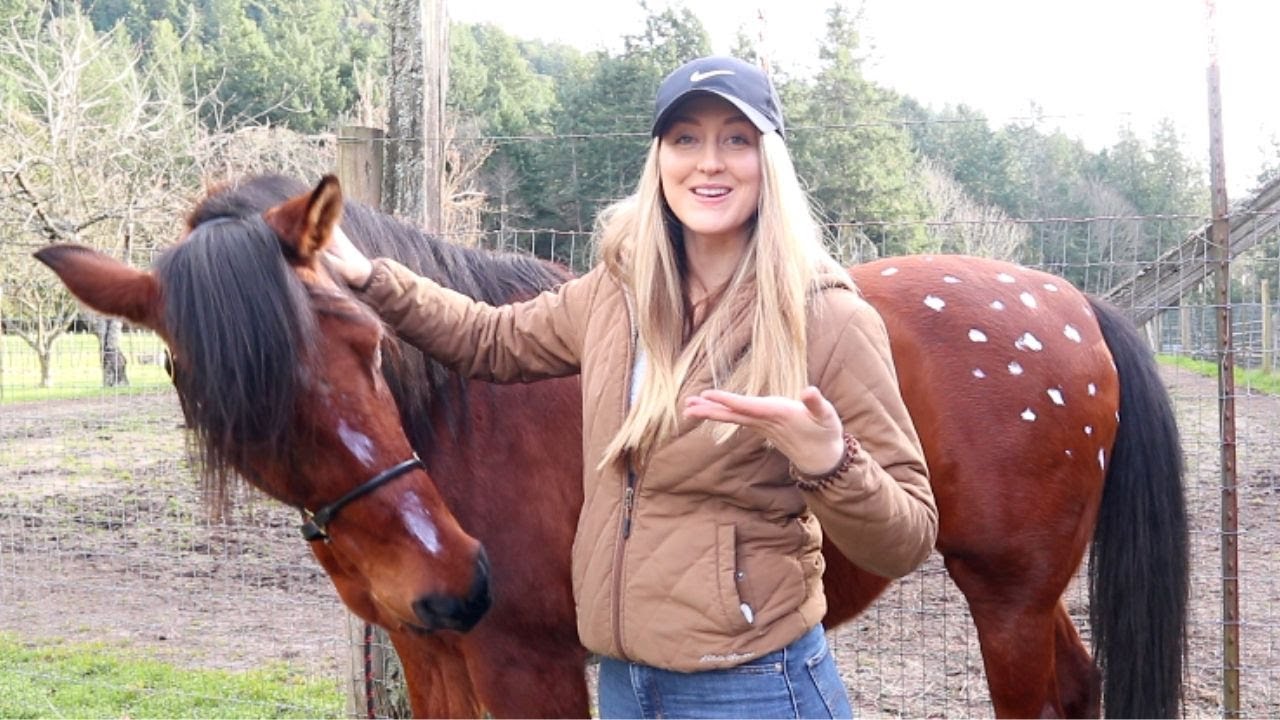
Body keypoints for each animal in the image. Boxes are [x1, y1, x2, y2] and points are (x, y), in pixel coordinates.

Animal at [37, 174, 1187, 718]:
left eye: (367, 345)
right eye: (212, 394)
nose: (453, 579)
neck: (454, 420)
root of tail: (1068, 301)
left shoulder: (530, 666)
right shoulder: (430, 654)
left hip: (1007, 600)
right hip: (1023, 598)